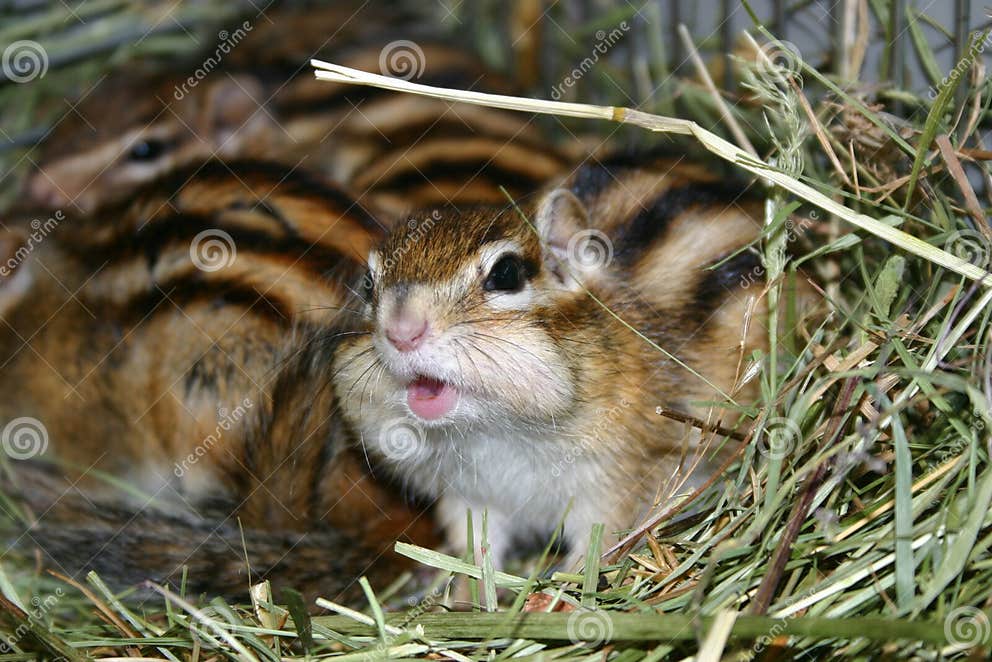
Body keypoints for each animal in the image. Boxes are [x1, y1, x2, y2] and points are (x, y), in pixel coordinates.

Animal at [331, 151, 786, 568]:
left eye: (506, 274)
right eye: (368, 283)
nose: (402, 330)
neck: (492, 433)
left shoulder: (611, 484)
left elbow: (593, 553)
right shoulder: (467, 500)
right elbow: (476, 559)